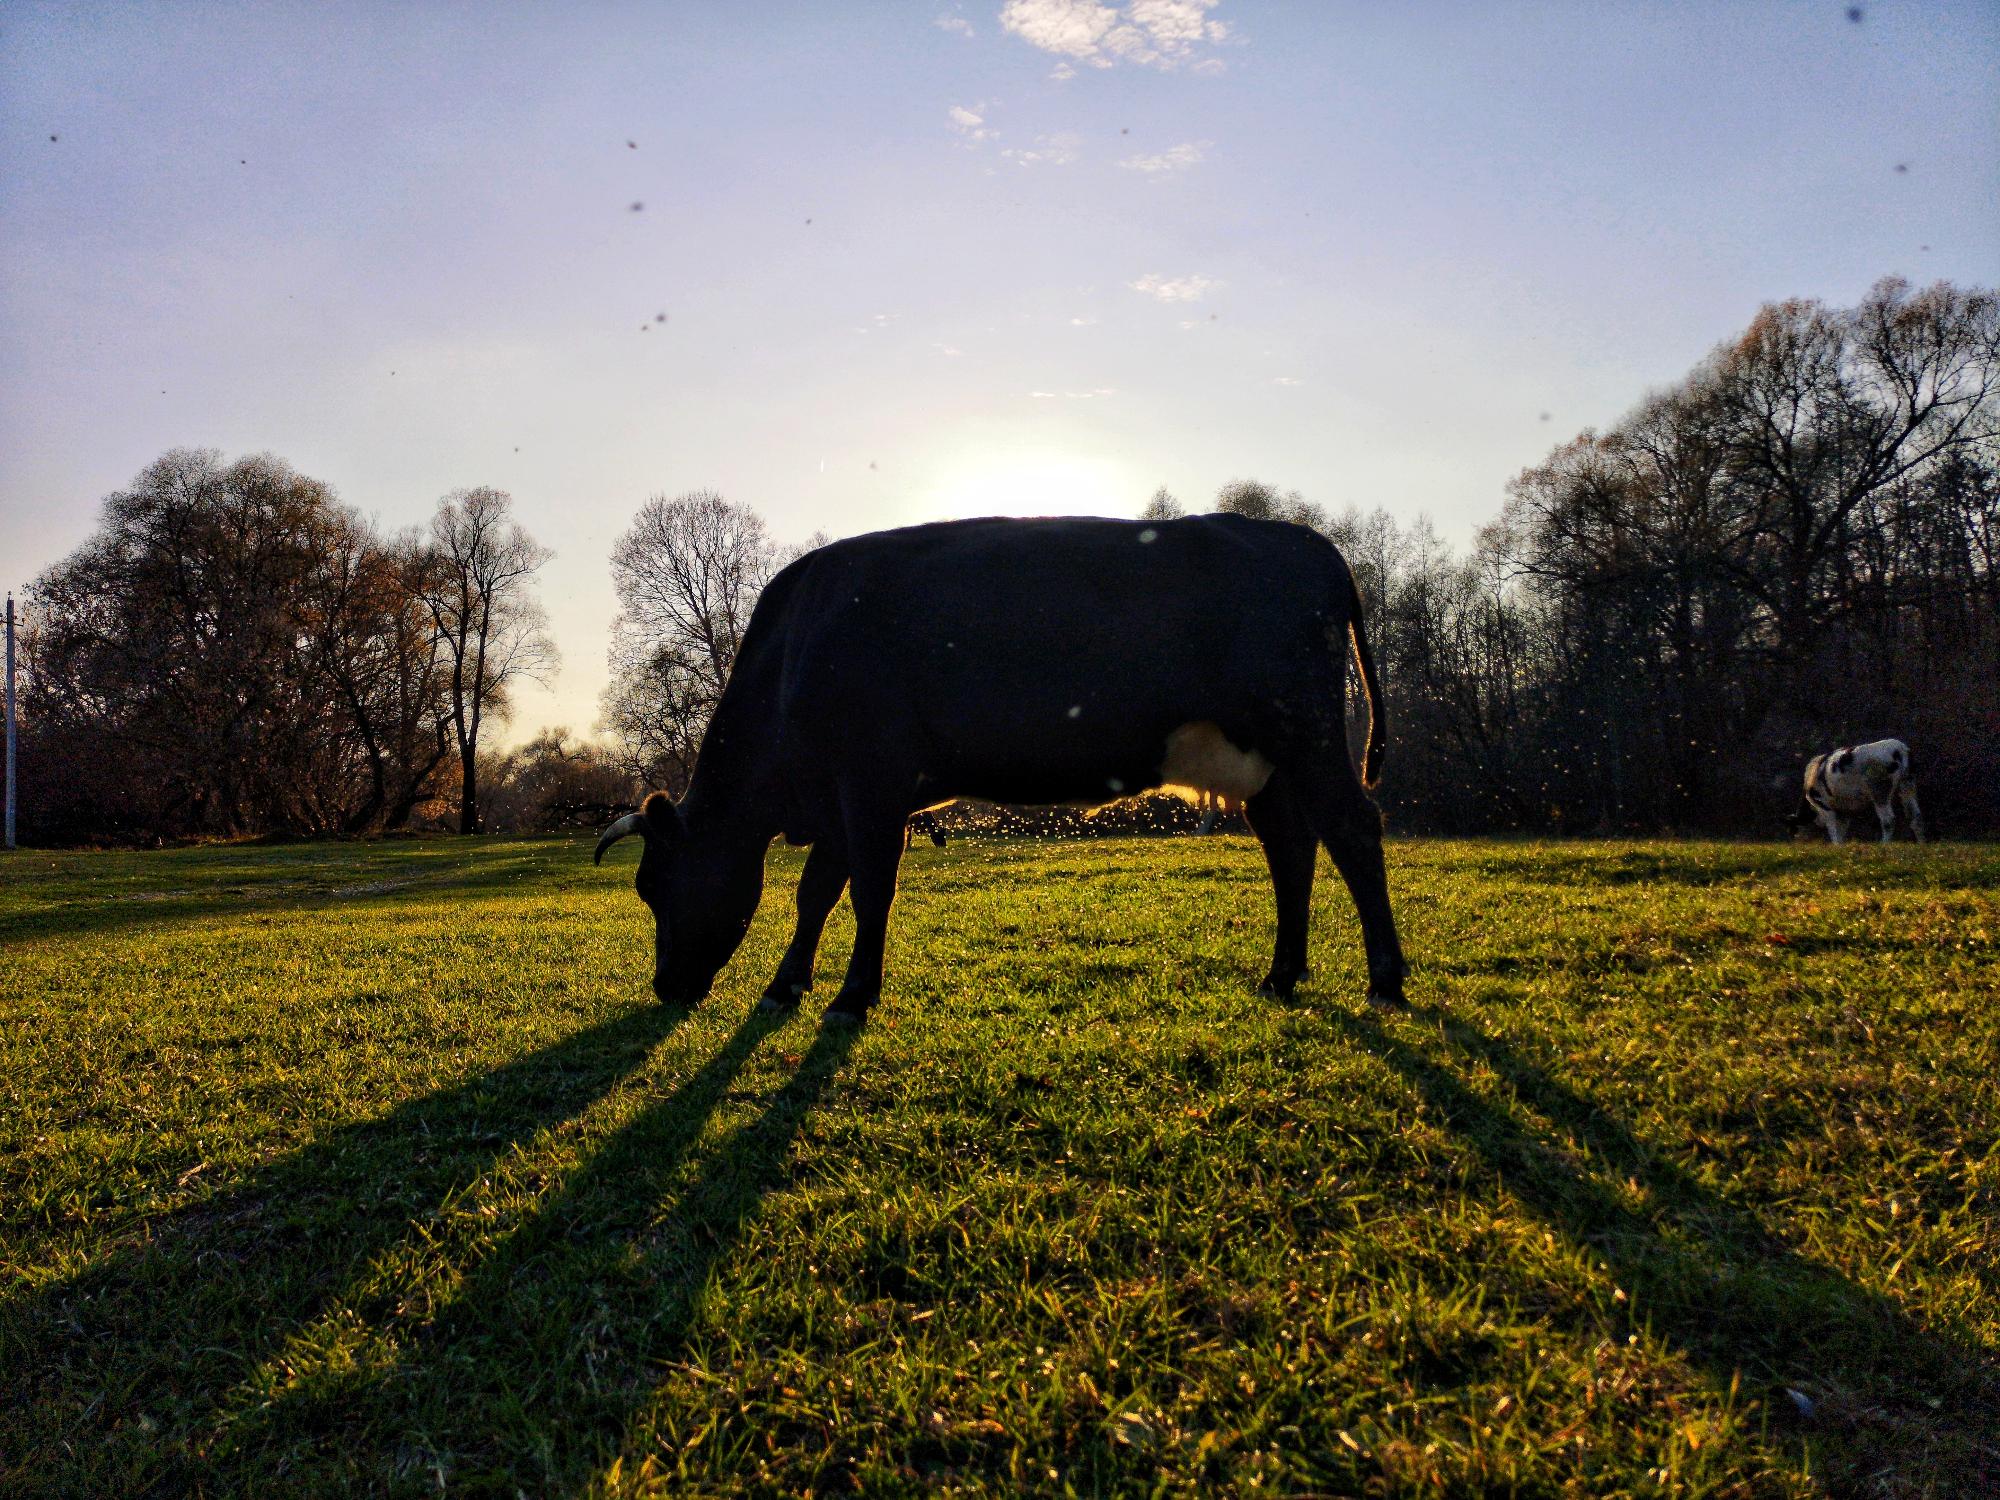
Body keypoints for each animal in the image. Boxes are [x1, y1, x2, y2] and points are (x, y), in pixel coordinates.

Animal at [592, 516, 1408, 1024]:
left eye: (652, 885)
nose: (666, 988)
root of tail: (1309, 544)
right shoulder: (844, 796)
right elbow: (817, 891)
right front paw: (786, 984)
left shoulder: (871, 785)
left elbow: (867, 890)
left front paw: (852, 996)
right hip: (1264, 762)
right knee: (1292, 844)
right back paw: (1282, 975)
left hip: (1305, 732)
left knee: (1353, 830)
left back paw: (1386, 982)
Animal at [1792, 740, 1928, 848]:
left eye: (1799, 825)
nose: (1799, 840)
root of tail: (1900, 749)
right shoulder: (1844, 811)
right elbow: (1842, 829)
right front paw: (1841, 846)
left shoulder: (1824, 805)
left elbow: (1832, 828)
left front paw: (1836, 846)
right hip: (1908, 785)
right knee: (1917, 817)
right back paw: (1921, 844)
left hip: (1880, 790)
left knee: (1888, 819)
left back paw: (1883, 844)